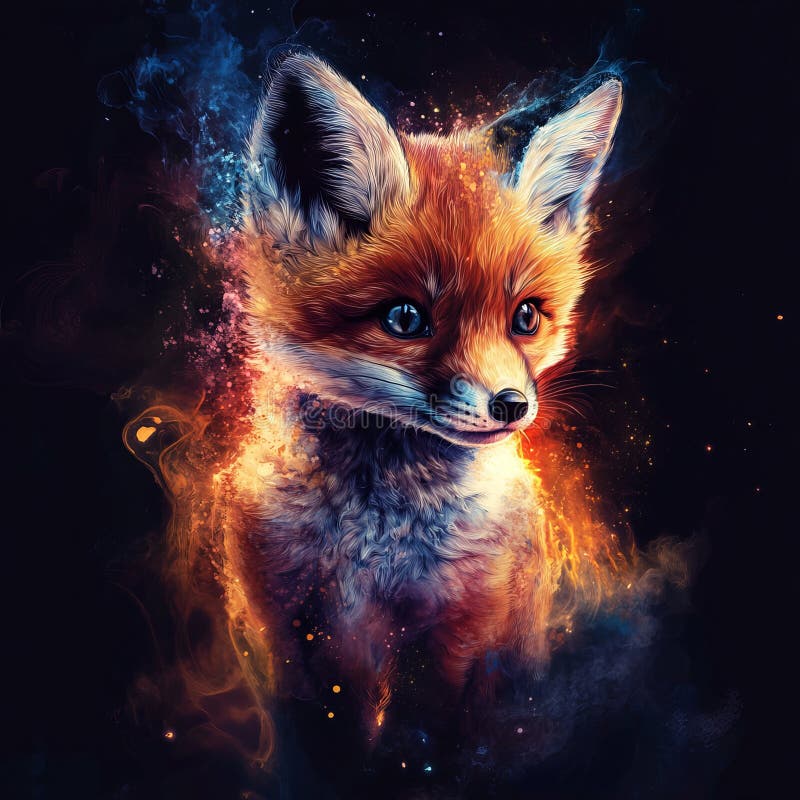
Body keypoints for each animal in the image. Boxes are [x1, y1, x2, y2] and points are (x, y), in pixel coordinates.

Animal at [219, 51, 622, 732]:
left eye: (526, 317)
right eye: (406, 318)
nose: (512, 406)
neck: (375, 548)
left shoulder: (465, 624)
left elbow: (433, 730)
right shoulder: (285, 626)